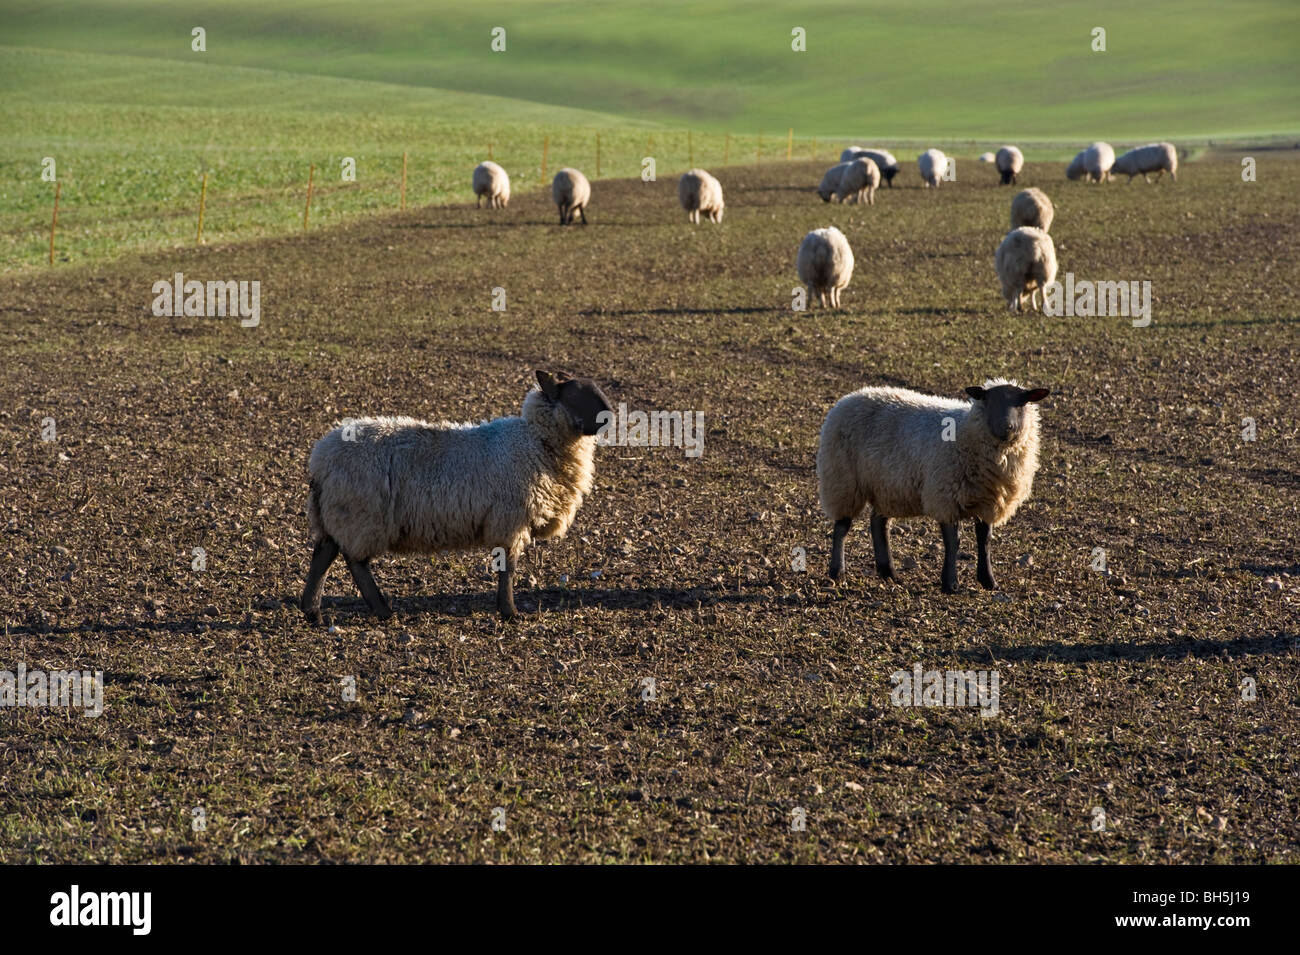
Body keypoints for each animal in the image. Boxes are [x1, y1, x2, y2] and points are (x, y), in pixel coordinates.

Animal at [300, 370, 612, 624]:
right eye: (576, 394)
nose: (609, 416)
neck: (535, 442)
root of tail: (320, 459)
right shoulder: (509, 520)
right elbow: (508, 568)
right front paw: (510, 612)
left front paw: (507, 610)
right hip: (360, 515)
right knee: (355, 562)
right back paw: (381, 610)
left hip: (337, 513)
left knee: (324, 554)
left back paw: (313, 612)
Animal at [817, 378, 1050, 594]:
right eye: (987, 399)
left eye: (1022, 401)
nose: (1006, 427)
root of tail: (854, 395)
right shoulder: (946, 496)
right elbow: (953, 542)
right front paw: (951, 584)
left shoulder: (987, 502)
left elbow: (984, 541)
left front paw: (989, 581)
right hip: (842, 480)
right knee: (842, 527)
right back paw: (838, 572)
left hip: (887, 486)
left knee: (878, 524)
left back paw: (889, 573)